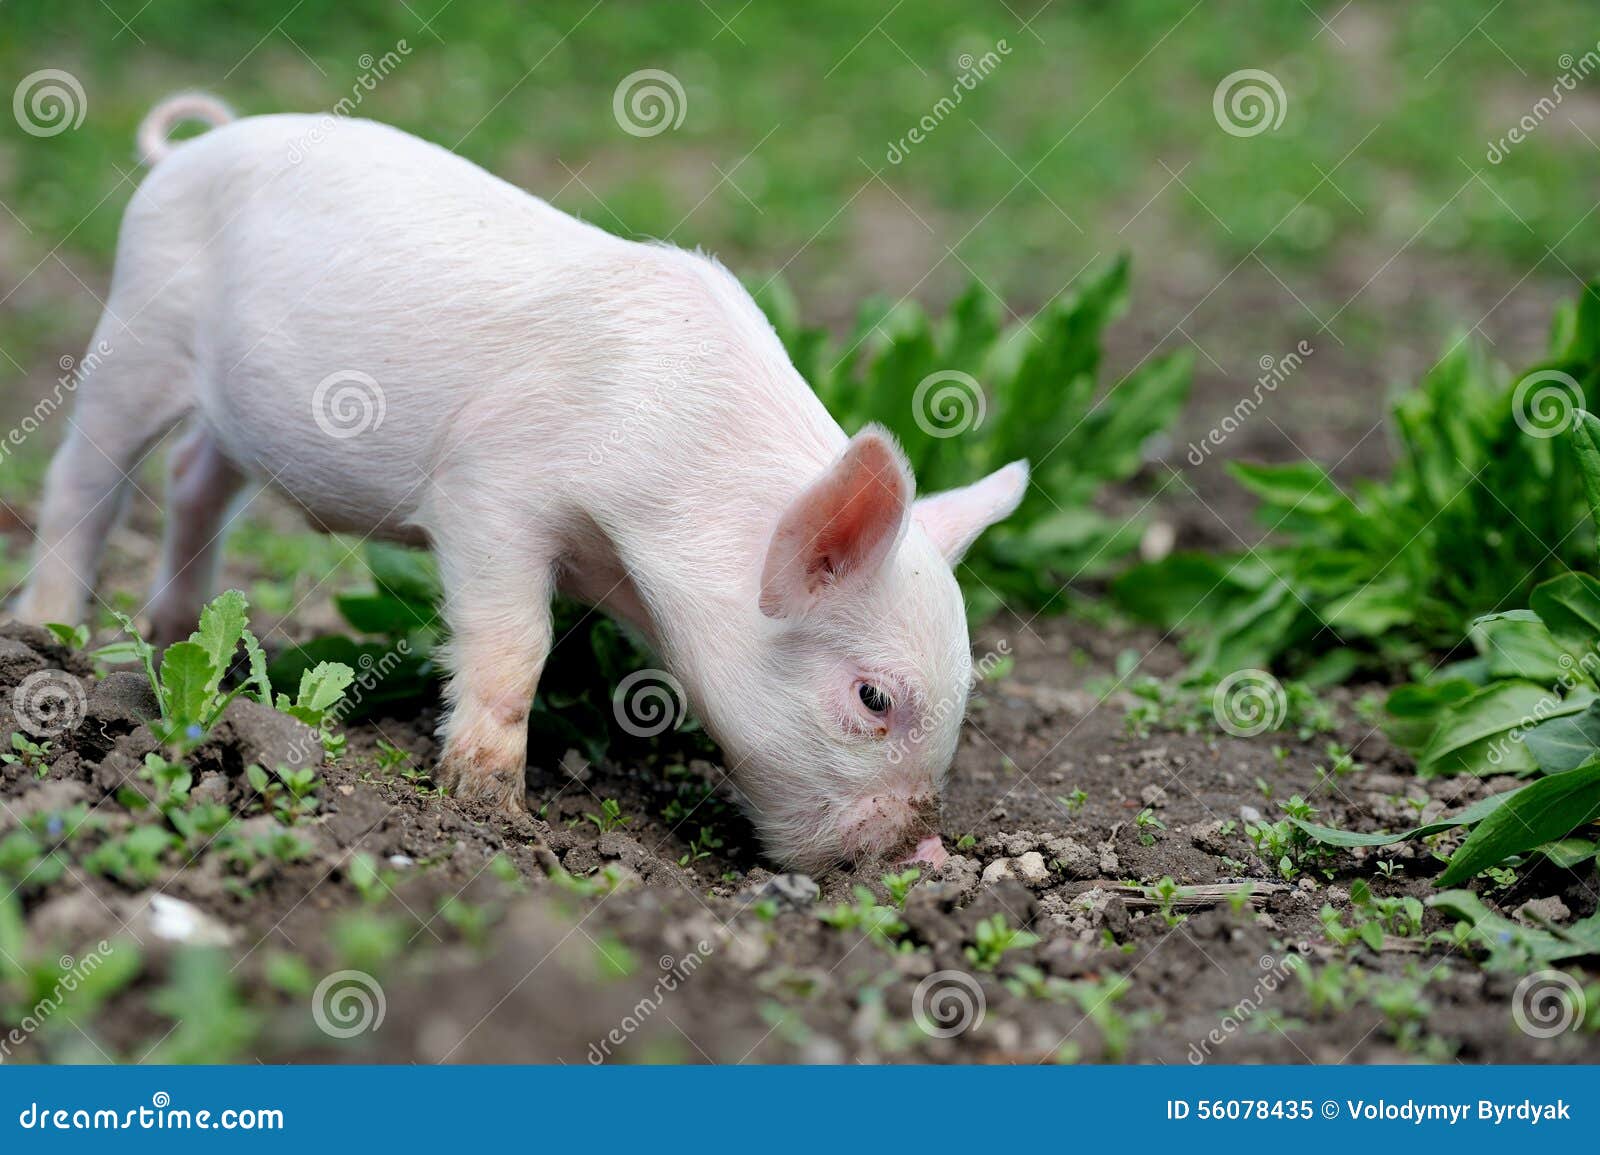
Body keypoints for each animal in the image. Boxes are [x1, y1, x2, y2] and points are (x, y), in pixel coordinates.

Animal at [16, 94, 1028, 873]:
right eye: (874, 699)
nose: (925, 855)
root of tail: (192, 148)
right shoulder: (488, 488)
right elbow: (516, 642)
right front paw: (491, 807)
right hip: (137, 331)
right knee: (83, 476)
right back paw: (52, 632)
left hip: (230, 414)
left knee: (194, 478)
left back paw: (182, 632)